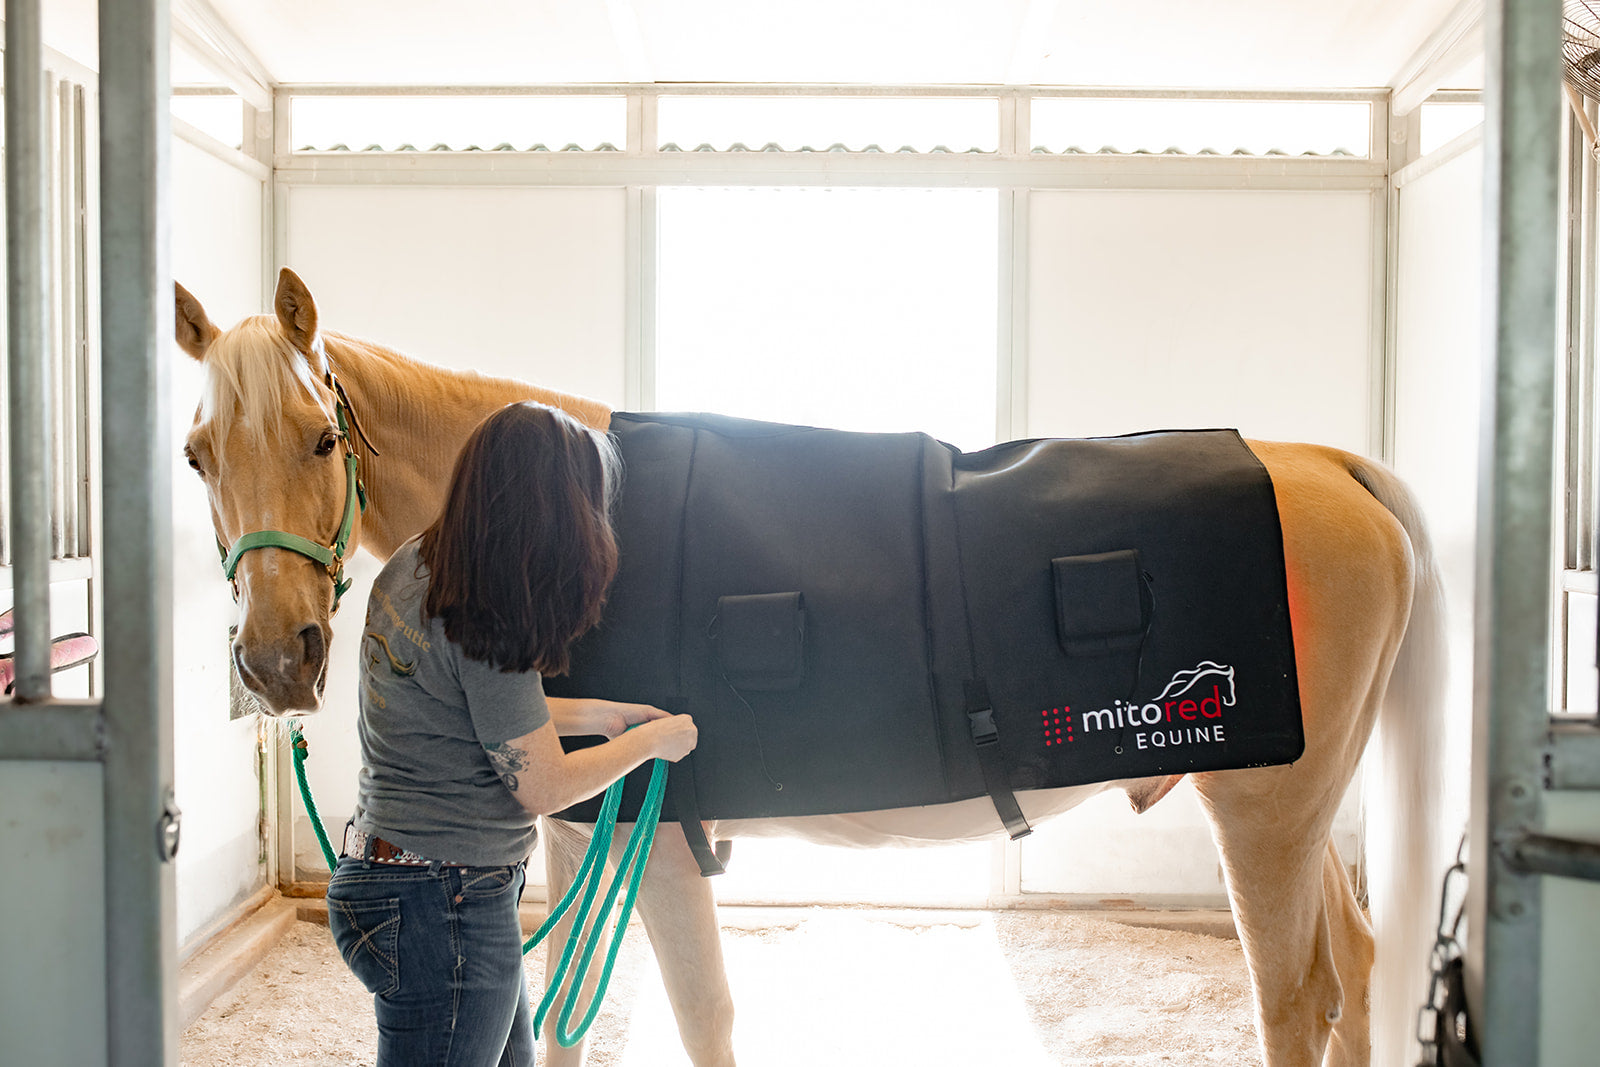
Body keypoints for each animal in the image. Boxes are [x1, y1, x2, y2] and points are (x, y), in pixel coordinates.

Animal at [174, 267, 1447, 1067]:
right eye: (195, 454)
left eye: (323, 438)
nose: (276, 657)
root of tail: (1321, 461)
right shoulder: (585, 836)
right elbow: (569, 1023)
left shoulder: (657, 841)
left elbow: (701, 1022)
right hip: (1296, 809)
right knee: (1351, 970)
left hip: (1264, 813)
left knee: (1294, 1003)